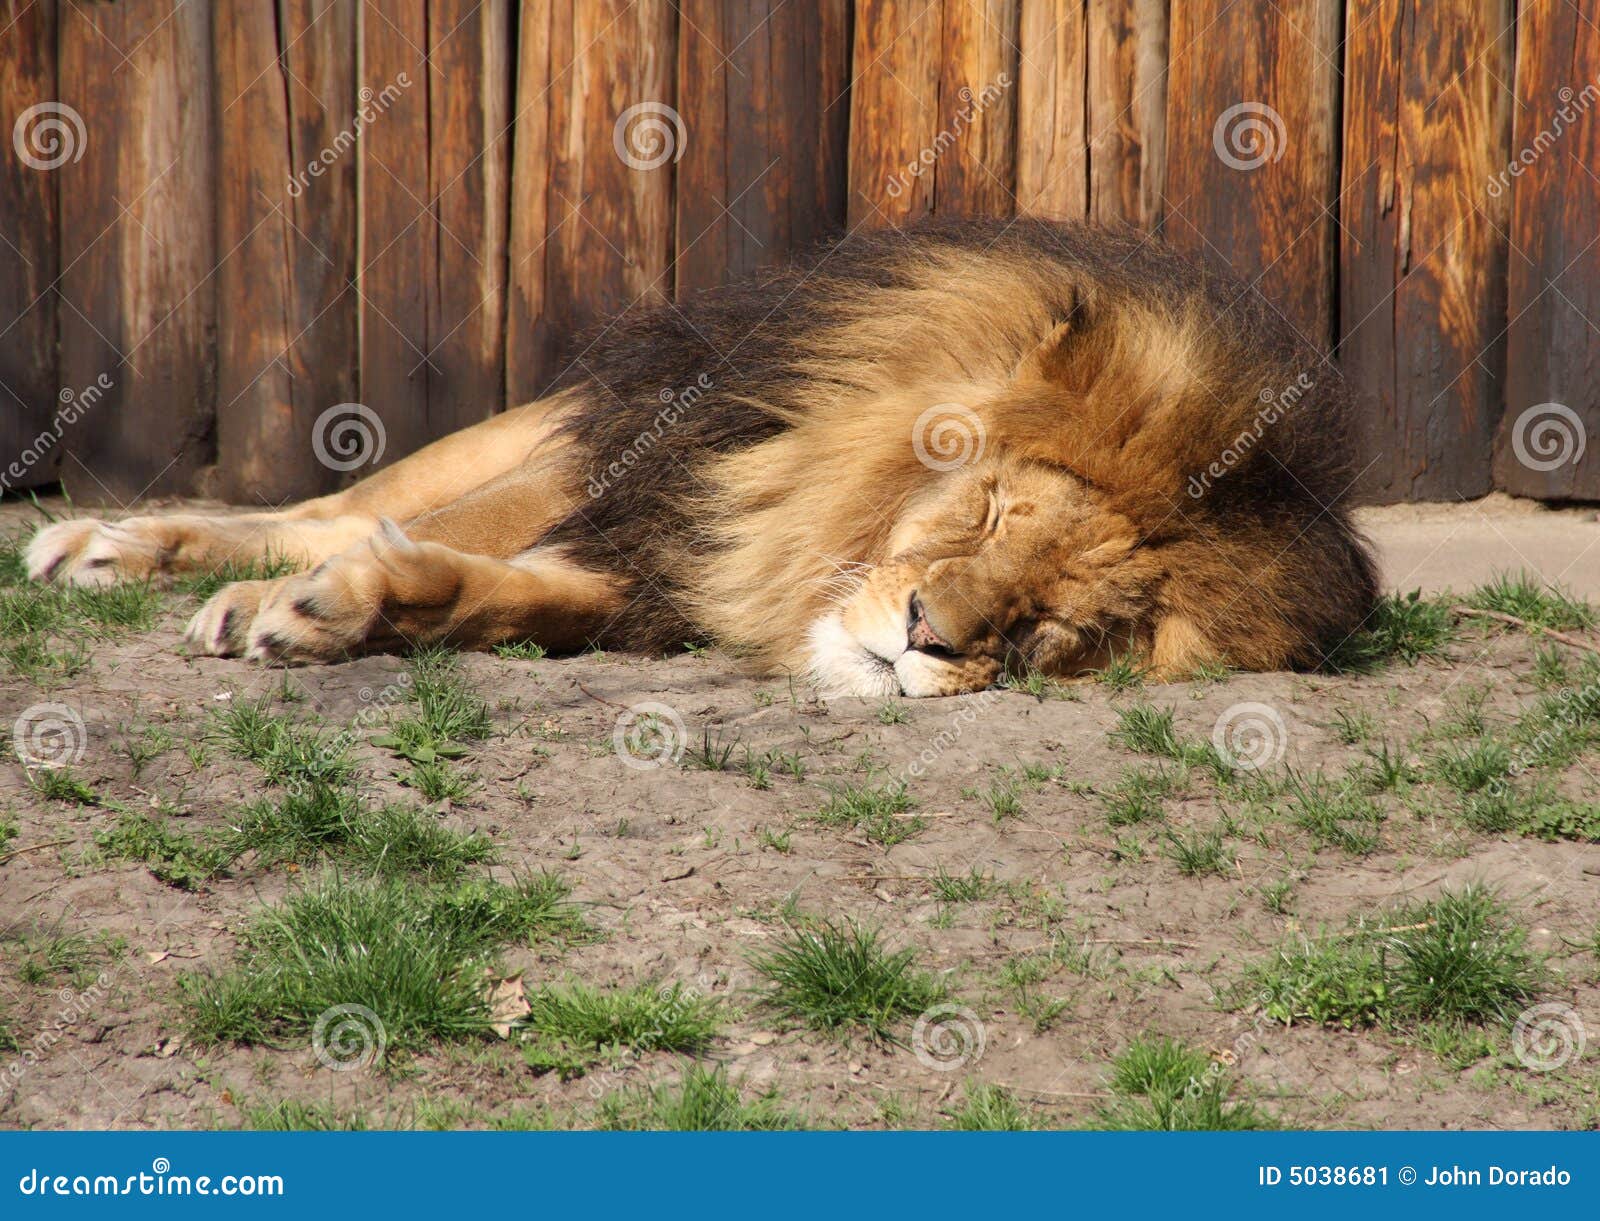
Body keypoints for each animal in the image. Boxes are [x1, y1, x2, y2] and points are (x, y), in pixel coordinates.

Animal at [24, 219, 1376, 698]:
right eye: (990, 514)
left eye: (1053, 630)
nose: (926, 637)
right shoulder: (650, 465)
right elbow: (424, 528)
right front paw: (264, 599)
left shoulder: (662, 570)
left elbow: (490, 592)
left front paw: (351, 613)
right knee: (341, 500)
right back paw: (115, 543)